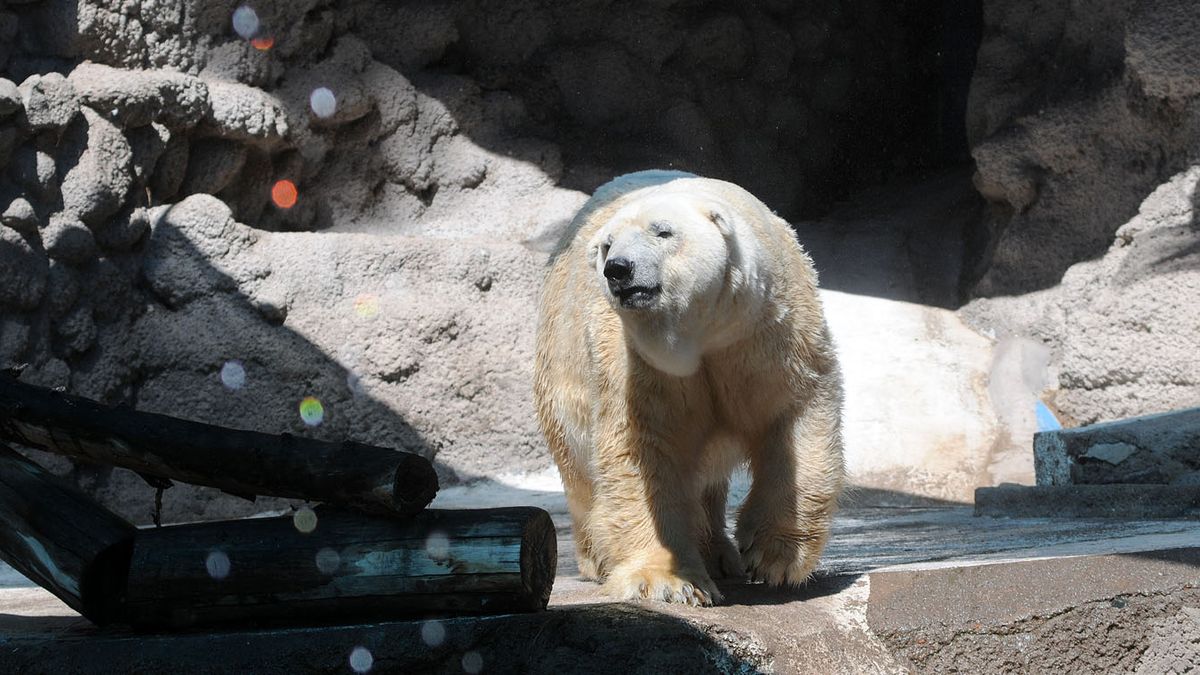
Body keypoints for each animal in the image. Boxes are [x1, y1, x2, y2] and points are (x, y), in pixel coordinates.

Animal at [533, 171, 844, 606]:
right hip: (561, 368)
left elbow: (794, 416)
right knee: (580, 470)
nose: (618, 269)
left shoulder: (767, 333)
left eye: (663, 231)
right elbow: (643, 448)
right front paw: (666, 581)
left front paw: (774, 557)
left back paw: (719, 554)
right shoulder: (638, 359)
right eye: (608, 244)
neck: (701, 334)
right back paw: (599, 558)